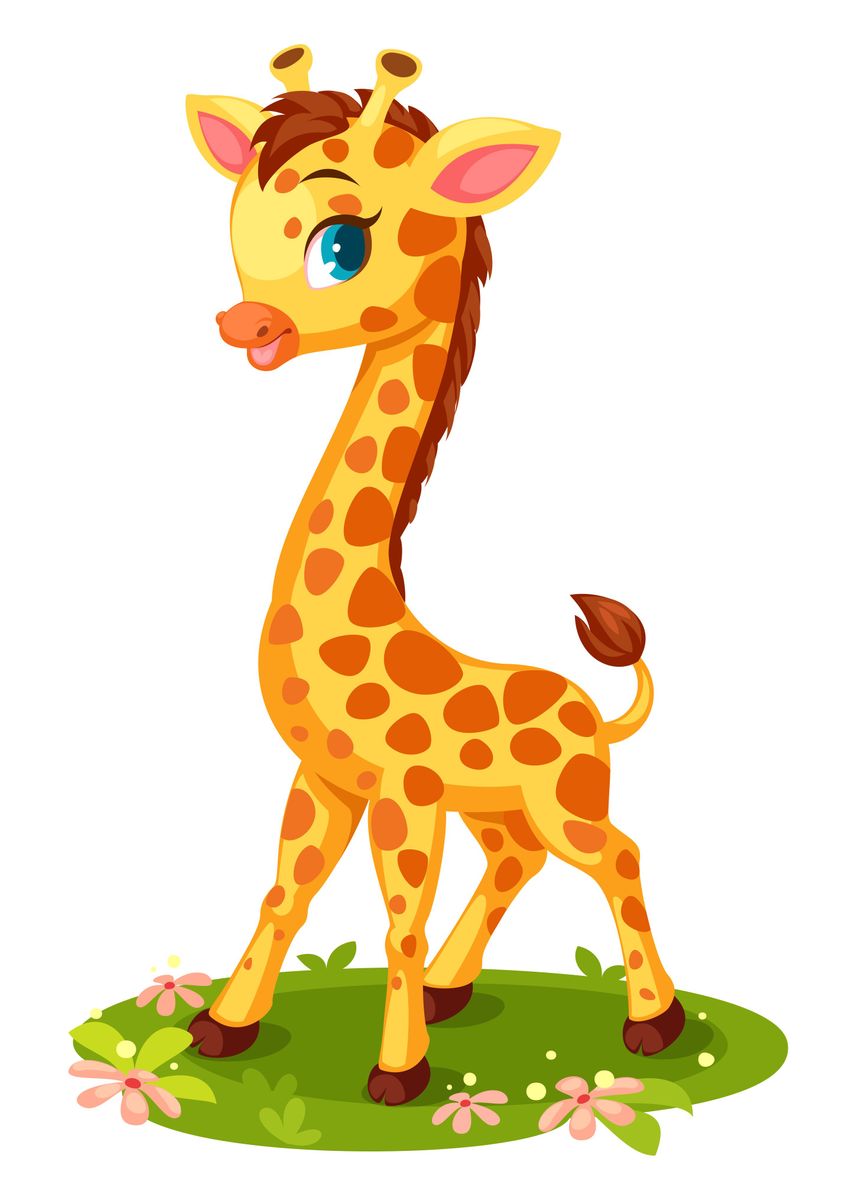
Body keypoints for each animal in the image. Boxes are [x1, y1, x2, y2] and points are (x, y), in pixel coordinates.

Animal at [184, 45, 685, 1104]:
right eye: (240, 223)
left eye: (340, 245)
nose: (245, 323)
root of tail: (595, 711)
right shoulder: (325, 777)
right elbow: (283, 893)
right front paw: (221, 1029)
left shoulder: (403, 790)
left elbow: (395, 919)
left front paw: (397, 1077)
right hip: (501, 811)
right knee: (518, 865)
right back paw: (458, 991)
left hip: (565, 799)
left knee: (616, 856)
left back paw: (652, 1024)